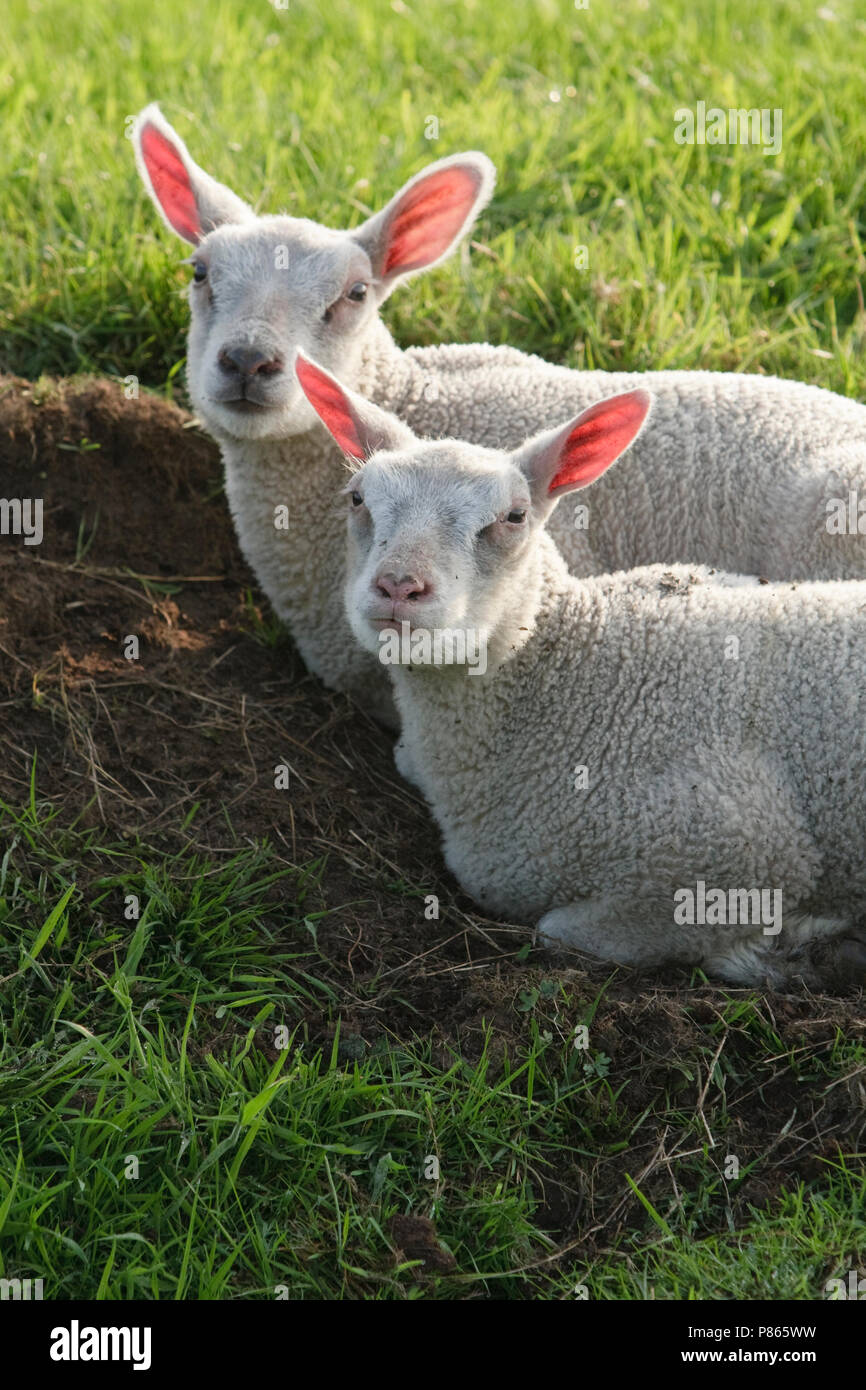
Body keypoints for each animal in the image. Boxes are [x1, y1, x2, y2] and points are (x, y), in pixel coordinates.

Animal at [295, 352, 866, 991]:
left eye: (515, 516)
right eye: (357, 499)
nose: (398, 586)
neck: (574, 672)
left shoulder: (738, 850)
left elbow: (557, 932)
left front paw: (796, 950)